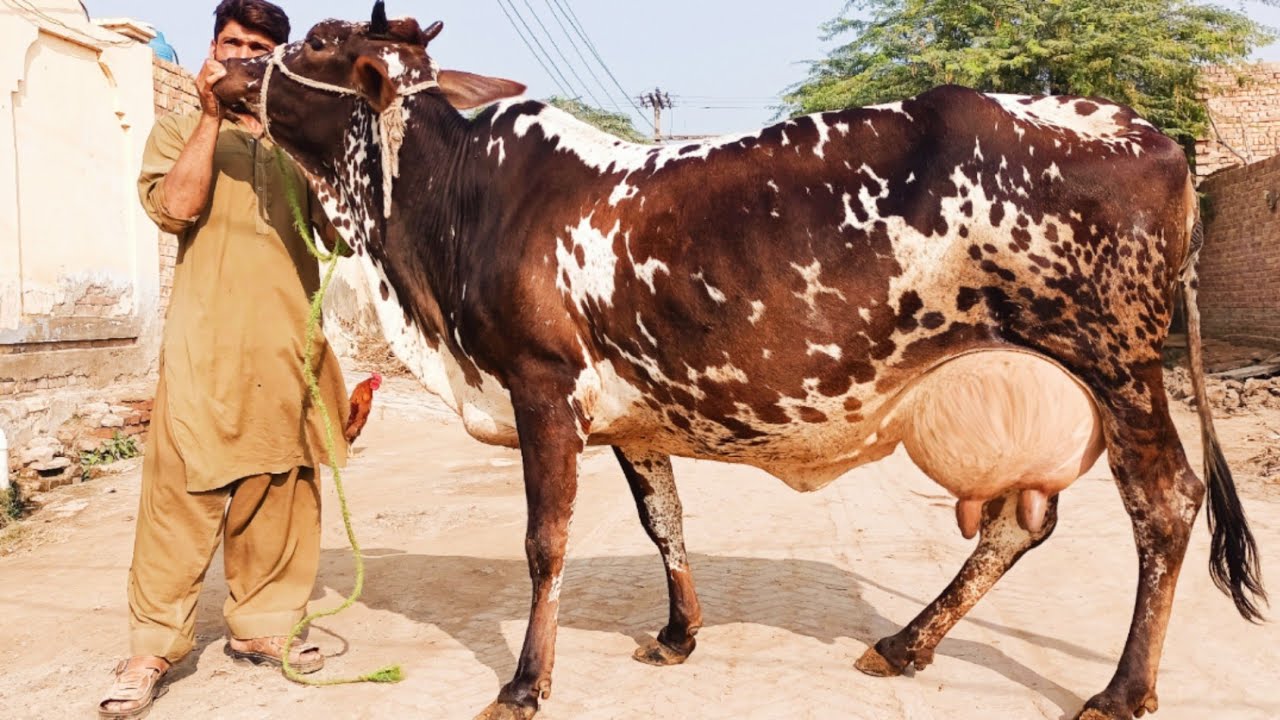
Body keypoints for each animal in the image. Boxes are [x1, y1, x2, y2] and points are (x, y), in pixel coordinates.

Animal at [214, 4, 1266, 719]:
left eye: (316, 43)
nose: (233, 74)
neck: (459, 202)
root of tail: (1151, 134)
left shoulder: (541, 389)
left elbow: (545, 543)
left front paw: (523, 683)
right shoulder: (632, 414)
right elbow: (664, 522)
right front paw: (680, 635)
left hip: (1118, 368)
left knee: (1164, 505)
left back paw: (1121, 690)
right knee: (1020, 521)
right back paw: (905, 643)